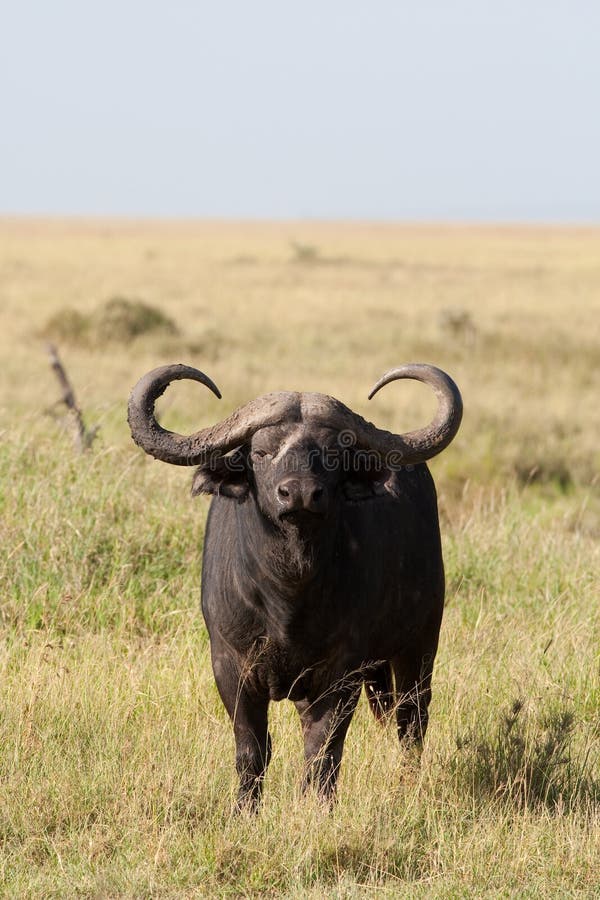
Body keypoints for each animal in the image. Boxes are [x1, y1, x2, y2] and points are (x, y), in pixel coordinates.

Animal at [128, 363, 462, 809]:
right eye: (261, 452)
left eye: (333, 454)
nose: (300, 493)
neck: (287, 596)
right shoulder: (230, 666)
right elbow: (252, 748)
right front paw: (245, 810)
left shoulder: (341, 672)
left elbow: (324, 749)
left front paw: (319, 807)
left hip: (419, 647)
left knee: (412, 723)